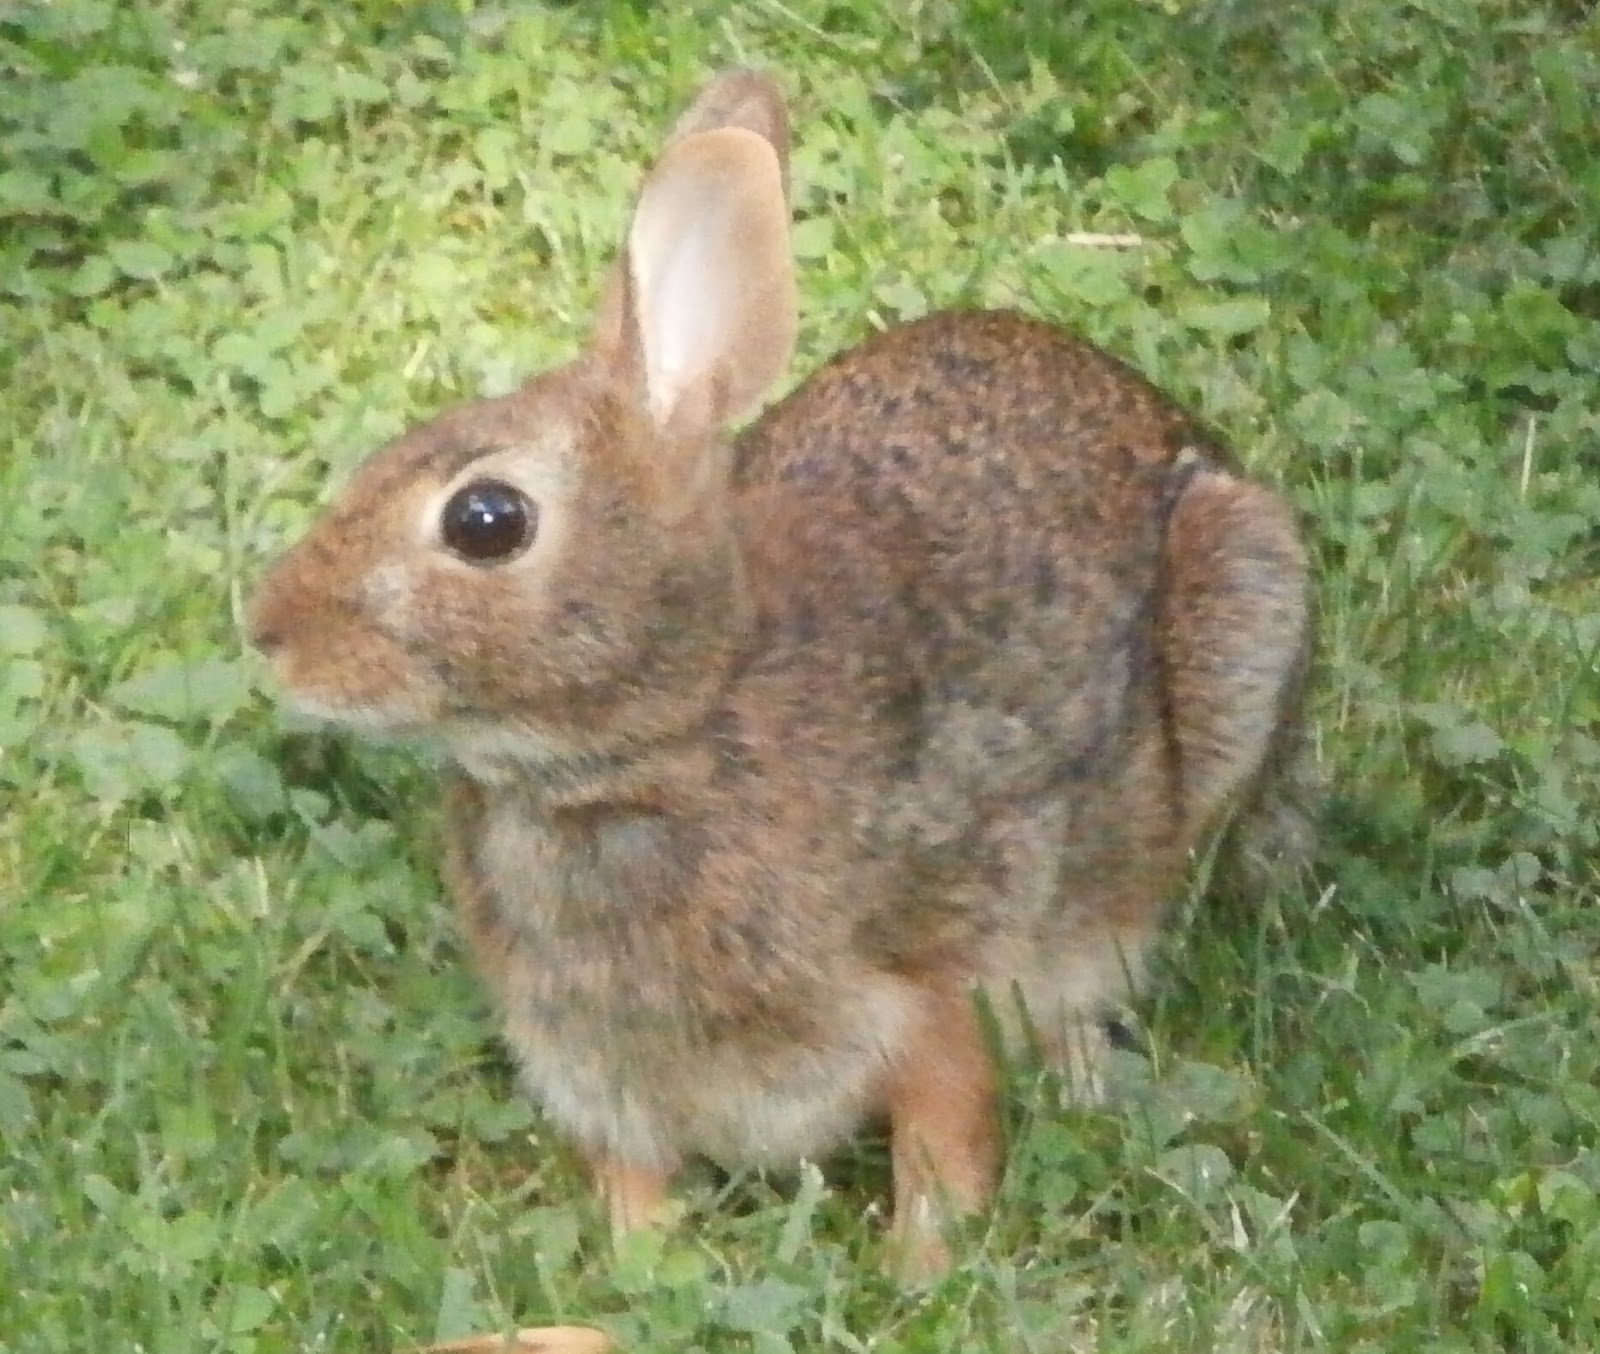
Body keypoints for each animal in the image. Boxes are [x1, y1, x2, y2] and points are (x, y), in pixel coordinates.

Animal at [248, 69, 1312, 1273]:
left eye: (486, 521)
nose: (271, 633)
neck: (662, 746)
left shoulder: (920, 999)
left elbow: (946, 1136)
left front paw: (919, 1277)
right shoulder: (601, 1067)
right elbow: (633, 1177)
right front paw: (642, 1267)